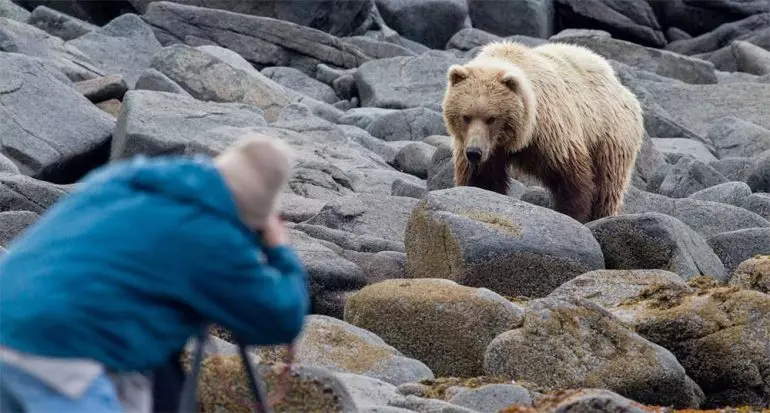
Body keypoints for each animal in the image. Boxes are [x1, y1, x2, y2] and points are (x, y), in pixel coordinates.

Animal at [438, 40, 640, 224]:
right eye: (466, 116)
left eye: (491, 118)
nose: (475, 152)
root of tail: (620, 85)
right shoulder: (478, 147)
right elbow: (482, 179)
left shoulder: (551, 130)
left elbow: (571, 175)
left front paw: (573, 214)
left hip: (609, 133)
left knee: (607, 184)